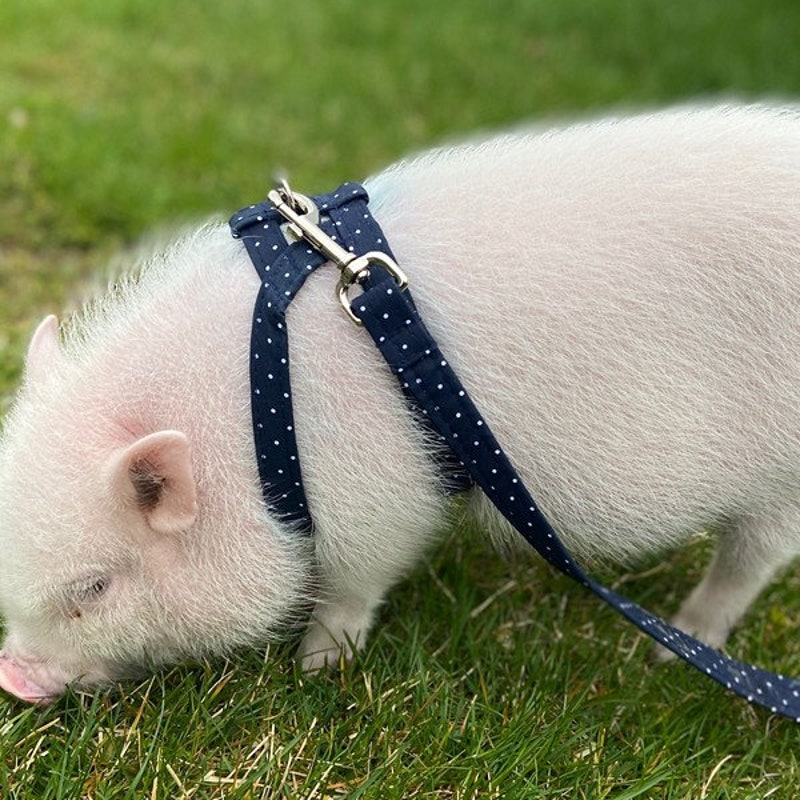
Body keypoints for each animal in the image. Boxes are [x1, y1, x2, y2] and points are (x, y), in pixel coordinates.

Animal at [2, 103, 800, 702]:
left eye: (95, 587)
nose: (14, 677)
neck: (261, 421)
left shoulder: (381, 501)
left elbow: (353, 587)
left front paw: (317, 668)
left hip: (781, 478)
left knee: (754, 558)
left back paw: (674, 652)